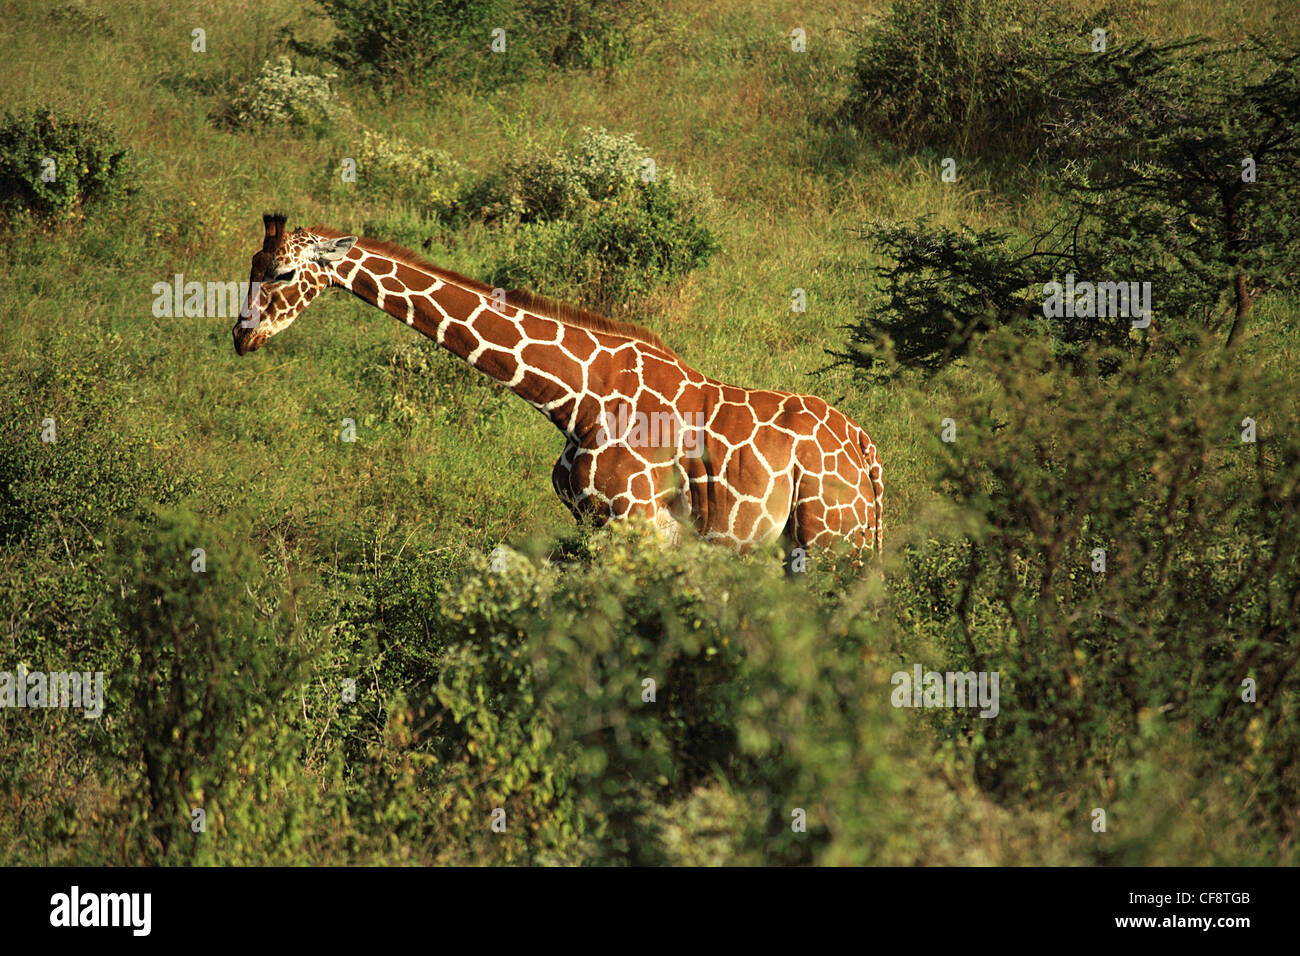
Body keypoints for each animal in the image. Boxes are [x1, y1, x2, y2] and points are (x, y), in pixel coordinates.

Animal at [235, 214, 883, 554]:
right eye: (252, 267)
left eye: (285, 273)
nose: (242, 336)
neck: (576, 398)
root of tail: (865, 449)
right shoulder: (594, 522)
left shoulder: (638, 523)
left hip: (831, 540)